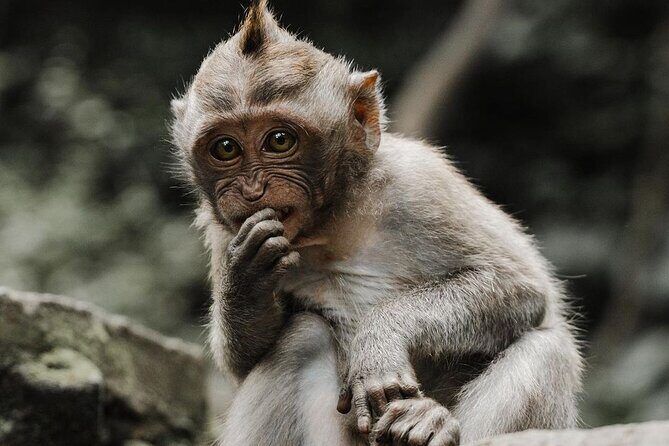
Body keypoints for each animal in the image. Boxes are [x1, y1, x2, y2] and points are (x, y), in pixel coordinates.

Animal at [169, 1, 583, 445]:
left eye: (279, 140)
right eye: (226, 148)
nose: (252, 189)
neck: (331, 223)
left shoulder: (419, 184)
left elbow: (519, 287)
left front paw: (381, 338)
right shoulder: (223, 231)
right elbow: (242, 362)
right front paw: (246, 277)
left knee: (547, 348)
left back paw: (426, 423)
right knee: (302, 338)